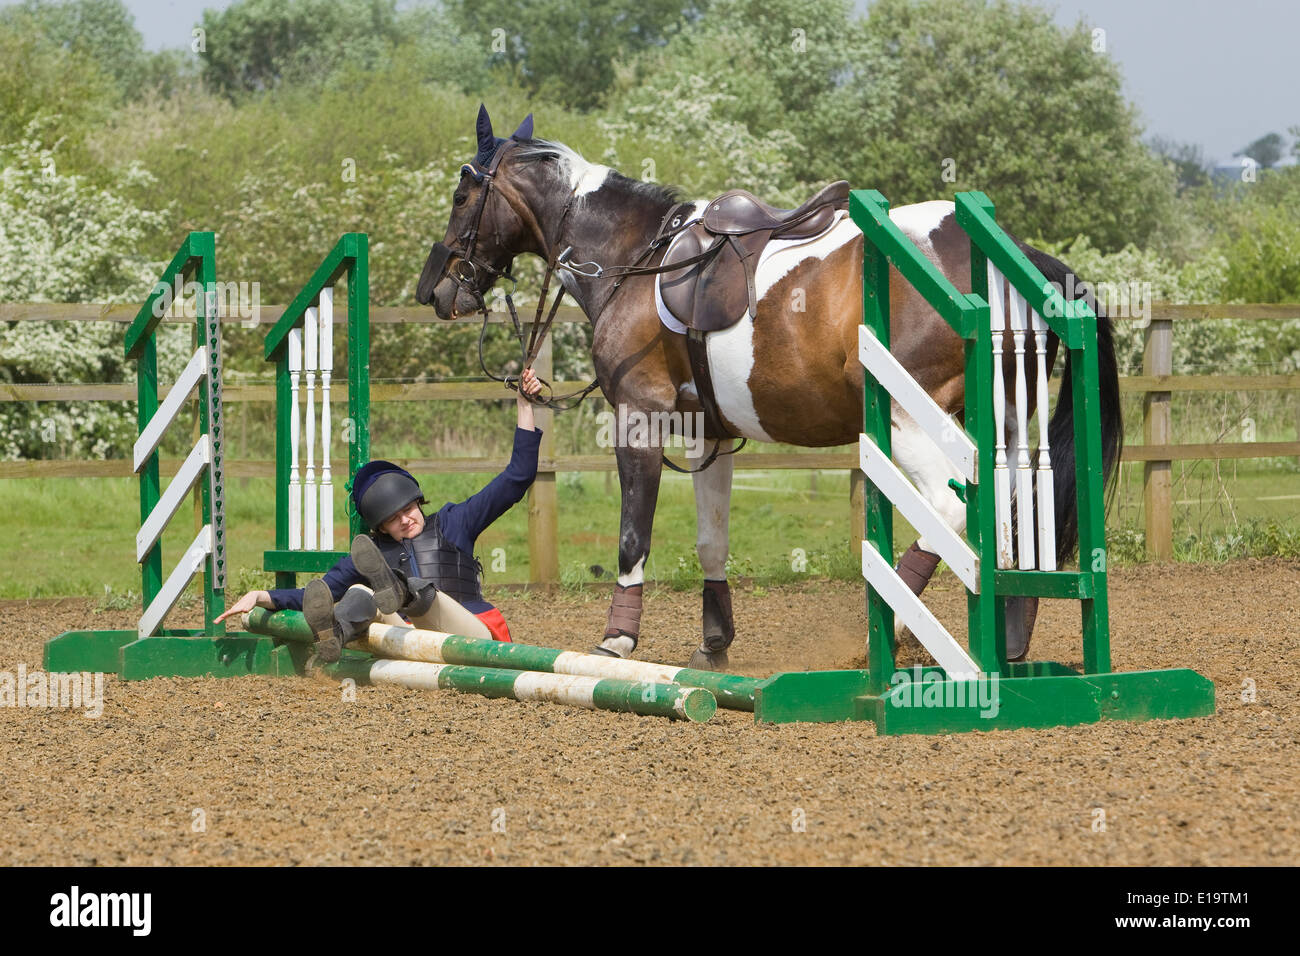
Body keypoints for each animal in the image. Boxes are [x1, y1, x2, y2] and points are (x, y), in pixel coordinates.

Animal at [416, 106, 1121, 671]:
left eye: (461, 195)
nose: (435, 291)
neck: (634, 257)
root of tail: (1023, 259)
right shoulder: (707, 435)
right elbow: (711, 540)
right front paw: (714, 642)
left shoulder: (639, 416)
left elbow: (633, 535)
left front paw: (617, 639)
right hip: (1005, 424)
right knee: (1012, 516)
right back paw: (1010, 643)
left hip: (911, 420)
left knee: (952, 514)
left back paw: (890, 627)